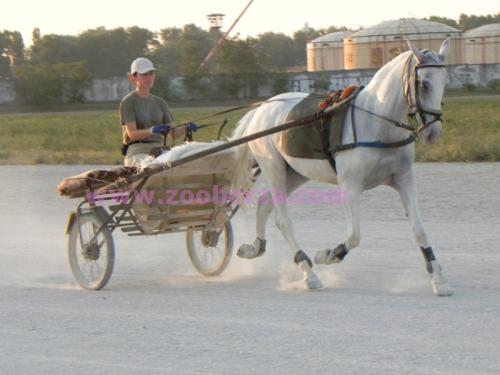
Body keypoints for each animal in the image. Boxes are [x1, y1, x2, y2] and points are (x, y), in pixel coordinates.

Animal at [230, 39, 454, 296]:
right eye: (424, 84)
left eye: (445, 82)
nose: (434, 133)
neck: (376, 123)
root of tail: (261, 108)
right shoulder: (350, 185)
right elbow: (354, 235)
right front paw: (328, 255)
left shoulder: (404, 179)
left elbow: (419, 230)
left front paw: (438, 279)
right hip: (273, 167)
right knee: (282, 220)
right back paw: (309, 272)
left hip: (295, 173)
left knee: (265, 202)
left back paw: (255, 247)